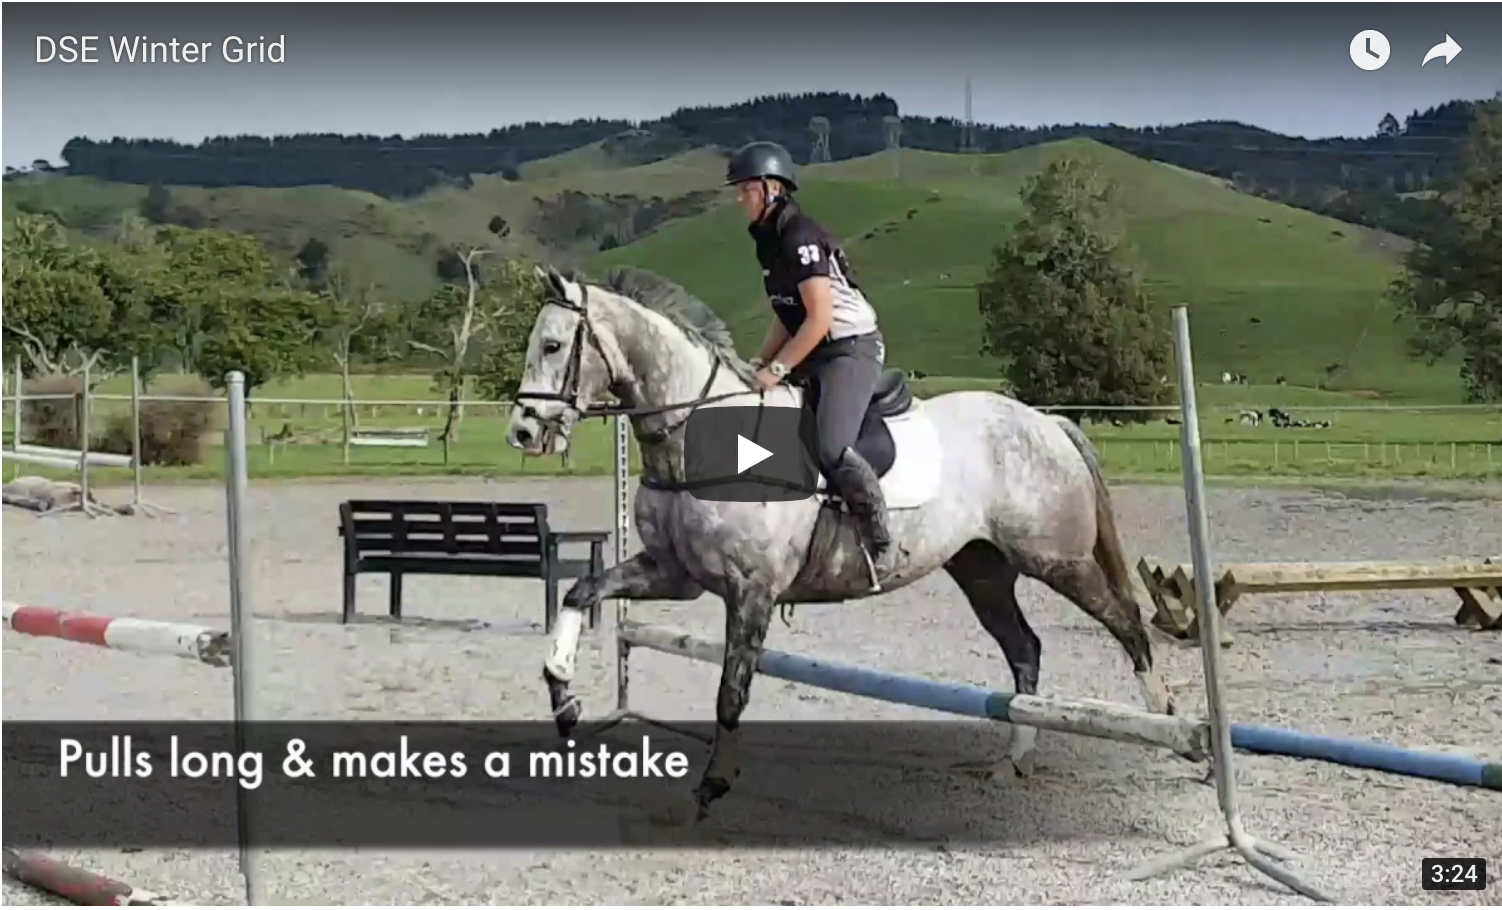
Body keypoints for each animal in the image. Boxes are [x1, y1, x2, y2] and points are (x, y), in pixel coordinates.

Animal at [506, 264, 1180, 820]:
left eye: (552, 345)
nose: (522, 432)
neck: (696, 433)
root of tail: (1045, 421)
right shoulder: (673, 573)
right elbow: (581, 591)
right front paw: (563, 698)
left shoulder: (751, 590)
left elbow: (730, 692)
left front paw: (715, 783)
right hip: (982, 569)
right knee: (1025, 649)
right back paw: (1015, 758)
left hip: (1054, 558)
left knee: (1127, 624)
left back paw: (1167, 727)